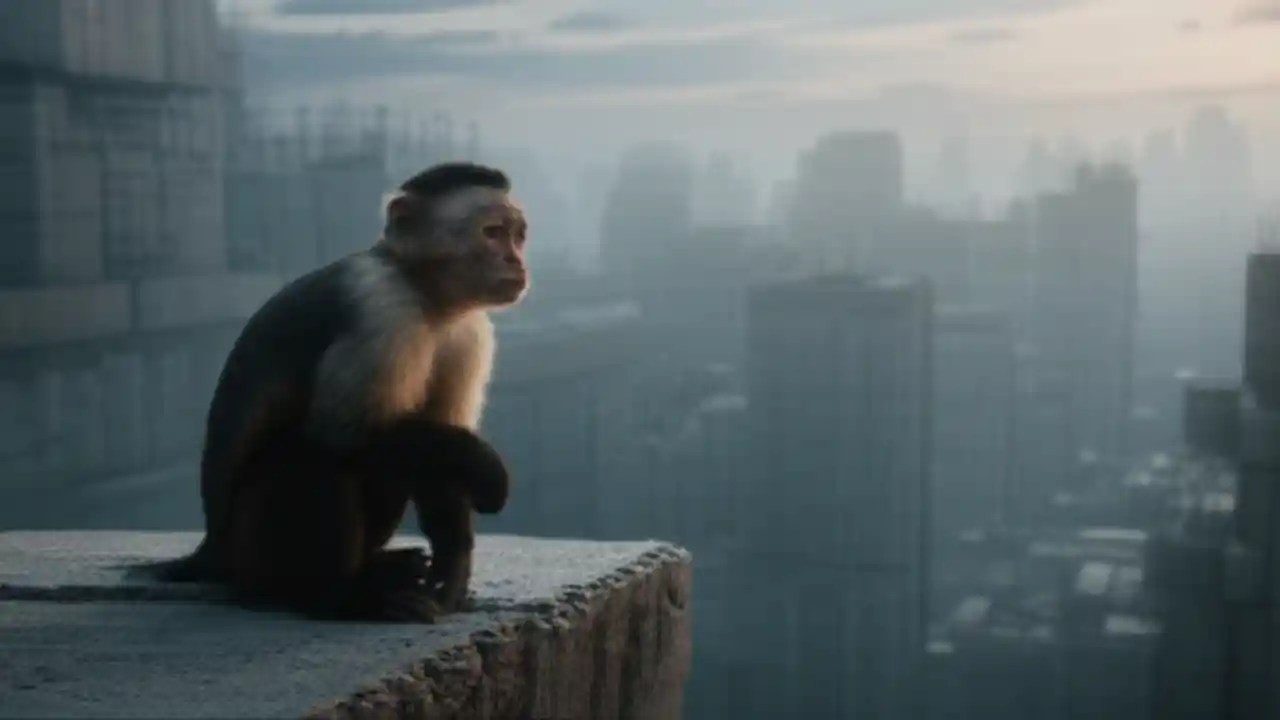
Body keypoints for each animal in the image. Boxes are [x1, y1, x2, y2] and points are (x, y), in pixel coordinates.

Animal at [131, 162, 530, 622]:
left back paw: (379, 570)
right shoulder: (380, 308)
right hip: (252, 546)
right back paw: (339, 596)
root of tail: (211, 553)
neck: (423, 291)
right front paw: (484, 465)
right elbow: (345, 435)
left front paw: (452, 569)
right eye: (493, 233)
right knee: (320, 453)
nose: (516, 260)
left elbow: (436, 447)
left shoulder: (469, 333)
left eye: (518, 235)